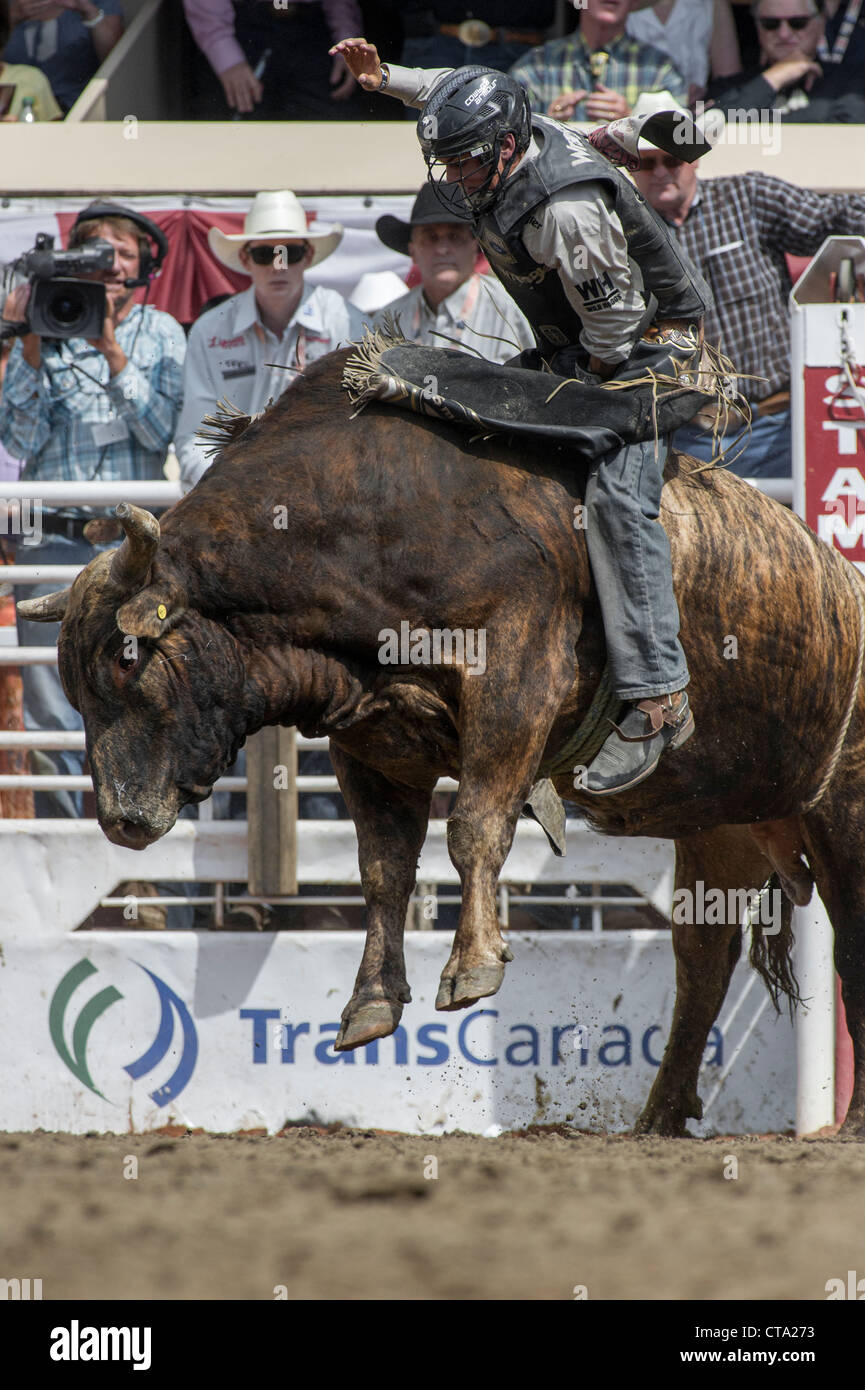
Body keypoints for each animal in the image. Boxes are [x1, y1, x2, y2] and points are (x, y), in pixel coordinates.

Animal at [19, 346, 865, 1138]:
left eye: (127, 659)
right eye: (74, 682)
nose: (121, 819)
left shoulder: (515, 680)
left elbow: (473, 829)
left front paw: (472, 967)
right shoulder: (372, 742)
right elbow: (384, 869)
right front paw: (370, 1003)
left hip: (842, 810)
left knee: (847, 945)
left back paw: (844, 1123)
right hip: (720, 829)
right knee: (702, 959)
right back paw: (658, 1117)